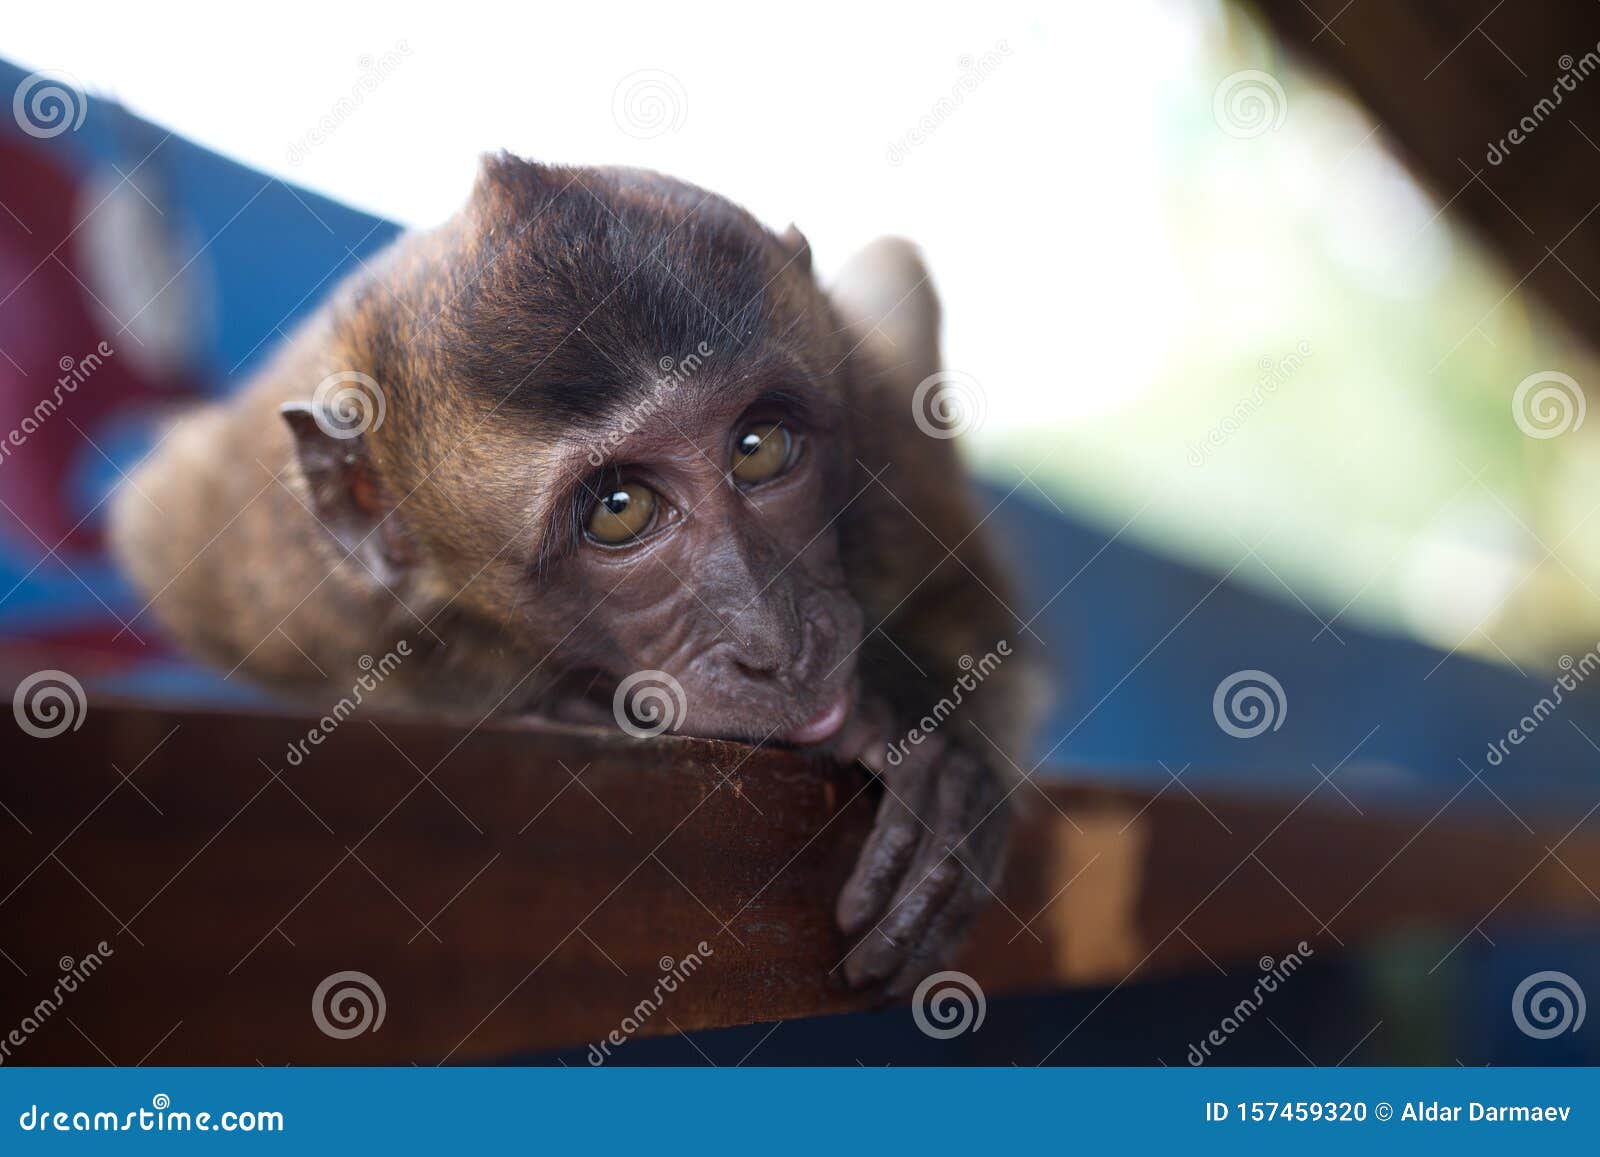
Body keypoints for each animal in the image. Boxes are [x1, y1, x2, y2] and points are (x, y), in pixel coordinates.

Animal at [108, 154, 1046, 996]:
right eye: (620, 508)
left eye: (758, 447)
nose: (776, 645)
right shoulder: (280, 575)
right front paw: (555, 696)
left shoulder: (884, 436)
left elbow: (972, 599)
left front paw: (934, 742)